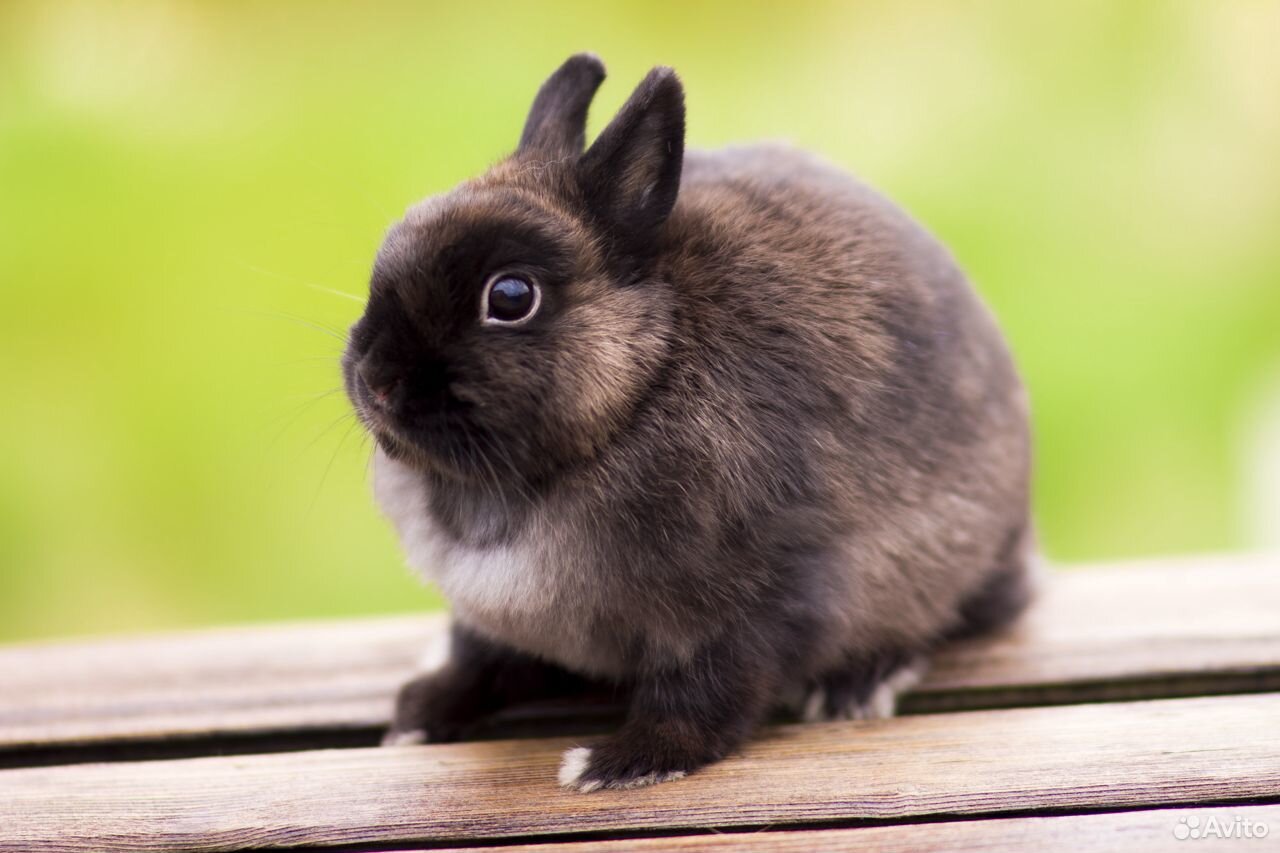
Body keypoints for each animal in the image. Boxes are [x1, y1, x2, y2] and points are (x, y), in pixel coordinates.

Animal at [342, 53, 1033, 792]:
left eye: (510, 296)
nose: (377, 382)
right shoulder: (495, 619)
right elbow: (479, 658)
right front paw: (420, 714)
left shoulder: (758, 599)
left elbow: (705, 694)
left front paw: (618, 763)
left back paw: (857, 683)